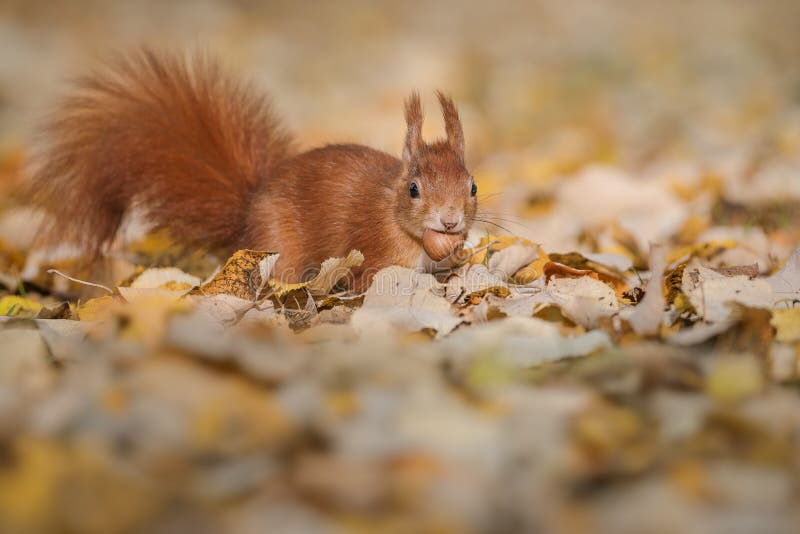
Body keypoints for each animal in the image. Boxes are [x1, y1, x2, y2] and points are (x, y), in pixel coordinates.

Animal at [26, 49, 477, 291]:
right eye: (414, 189)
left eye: (471, 187)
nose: (450, 220)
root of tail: (246, 210)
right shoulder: (375, 250)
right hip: (278, 246)